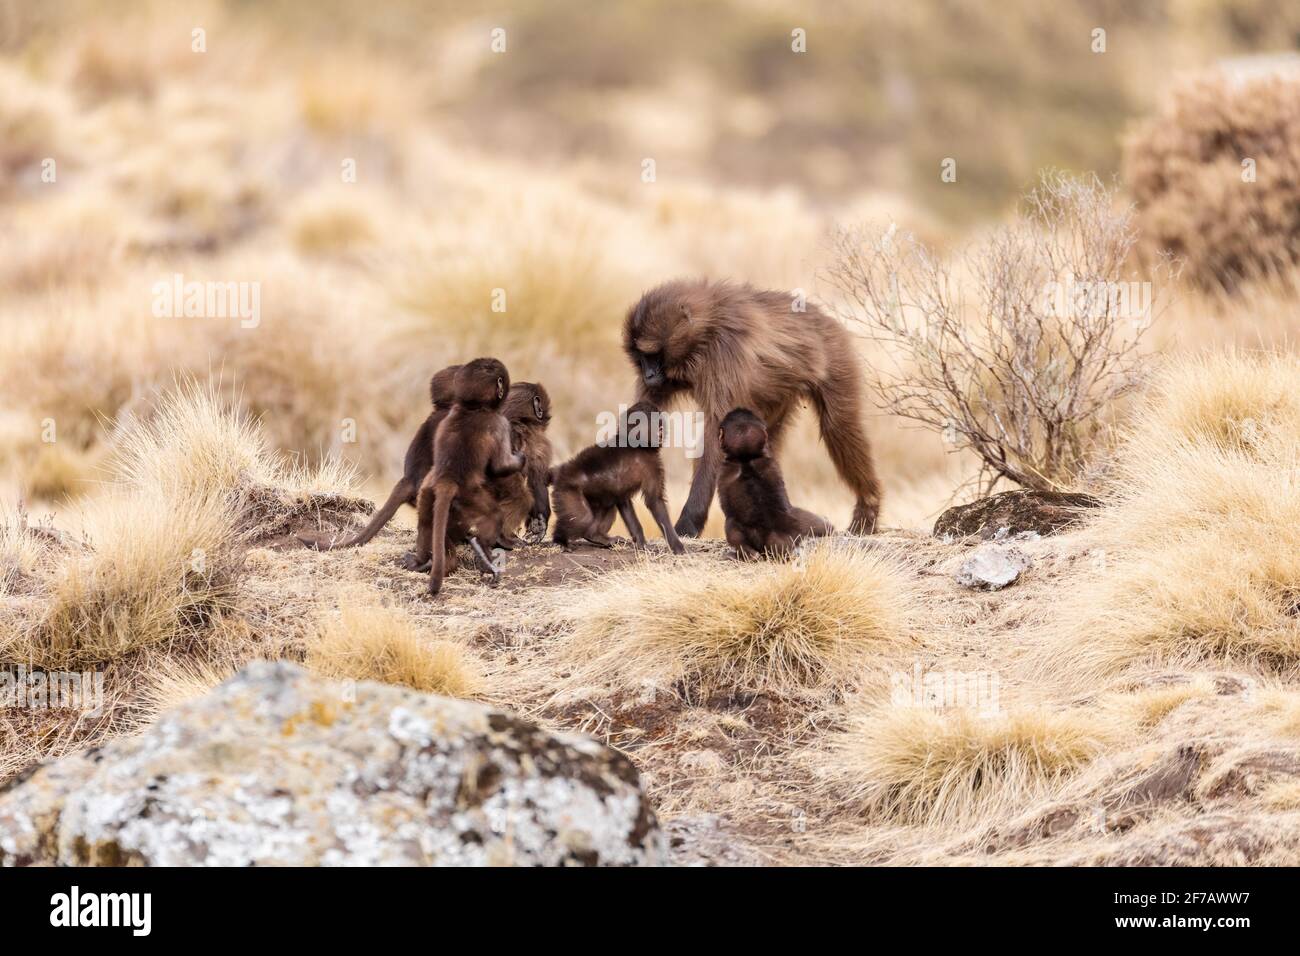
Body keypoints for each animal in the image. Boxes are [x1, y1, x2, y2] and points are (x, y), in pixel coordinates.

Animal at [401, 358, 524, 596]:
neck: (472, 408)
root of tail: (446, 479)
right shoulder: (500, 422)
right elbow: (501, 466)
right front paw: (521, 458)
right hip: (470, 497)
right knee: (492, 516)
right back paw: (486, 555)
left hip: (427, 492)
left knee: (426, 522)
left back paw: (421, 562)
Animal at [550, 401, 686, 554]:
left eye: (660, 424)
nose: (661, 431)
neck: (637, 445)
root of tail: (560, 471)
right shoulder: (651, 464)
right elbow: (655, 501)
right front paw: (677, 546)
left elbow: (623, 501)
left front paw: (642, 544)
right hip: (567, 490)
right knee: (582, 518)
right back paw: (560, 541)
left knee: (606, 507)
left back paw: (595, 536)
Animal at [624, 278, 882, 537]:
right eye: (641, 358)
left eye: (653, 355)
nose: (648, 375)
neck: (704, 332)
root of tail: (825, 319)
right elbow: (642, 421)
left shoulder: (724, 352)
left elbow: (716, 431)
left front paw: (688, 523)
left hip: (835, 357)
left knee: (838, 426)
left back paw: (868, 509)